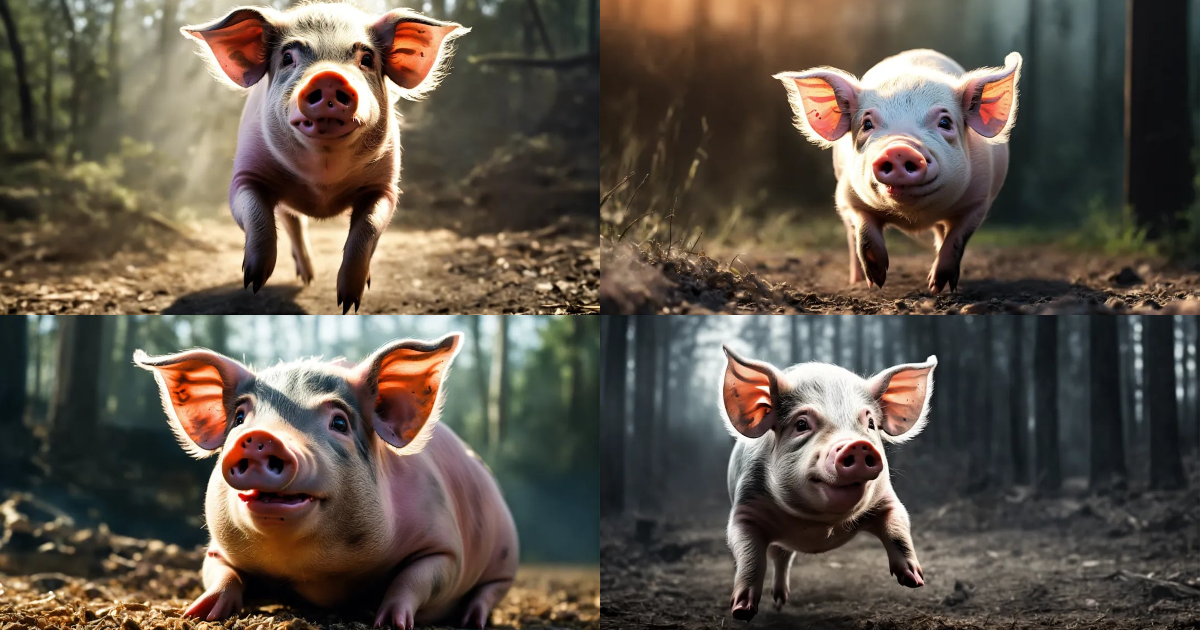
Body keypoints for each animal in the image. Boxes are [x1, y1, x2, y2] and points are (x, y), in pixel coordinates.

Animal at [133, 333, 518, 629]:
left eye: (339, 423)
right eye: (240, 417)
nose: (259, 438)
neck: (318, 581)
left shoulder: (445, 547)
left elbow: (414, 579)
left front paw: (389, 622)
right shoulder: (217, 545)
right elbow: (220, 571)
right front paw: (197, 613)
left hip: (505, 557)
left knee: (489, 592)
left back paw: (472, 620)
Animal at [182, 4, 469, 312]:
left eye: (367, 58)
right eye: (287, 57)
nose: (329, 76)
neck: (323, 183)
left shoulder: (385, 186)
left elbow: (368, 227)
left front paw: (348, 302)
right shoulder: (246, 174)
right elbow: (256, 213)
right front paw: (253, 281)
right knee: (293, 223)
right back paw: (305, 277)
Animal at [719, 345, 937, 621]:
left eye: (870, 423)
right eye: (801, 424)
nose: (858, 444)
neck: (820, 524)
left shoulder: (887, 499)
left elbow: (898, 528)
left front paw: (915, 580)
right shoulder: (746, 506)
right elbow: (751, 556)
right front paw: (742, 611)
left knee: (782, 556)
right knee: (776, 557)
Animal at [774, 50, 1022, 294]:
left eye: (945, 122)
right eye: (866, 124)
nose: (899, 149)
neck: (914, 217)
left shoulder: (979, 200)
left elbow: (956, 238)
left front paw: (936, 287)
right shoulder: (845, 196)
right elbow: (864, 230)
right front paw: (876, 281)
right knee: (851, 237)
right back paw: (856, 281)